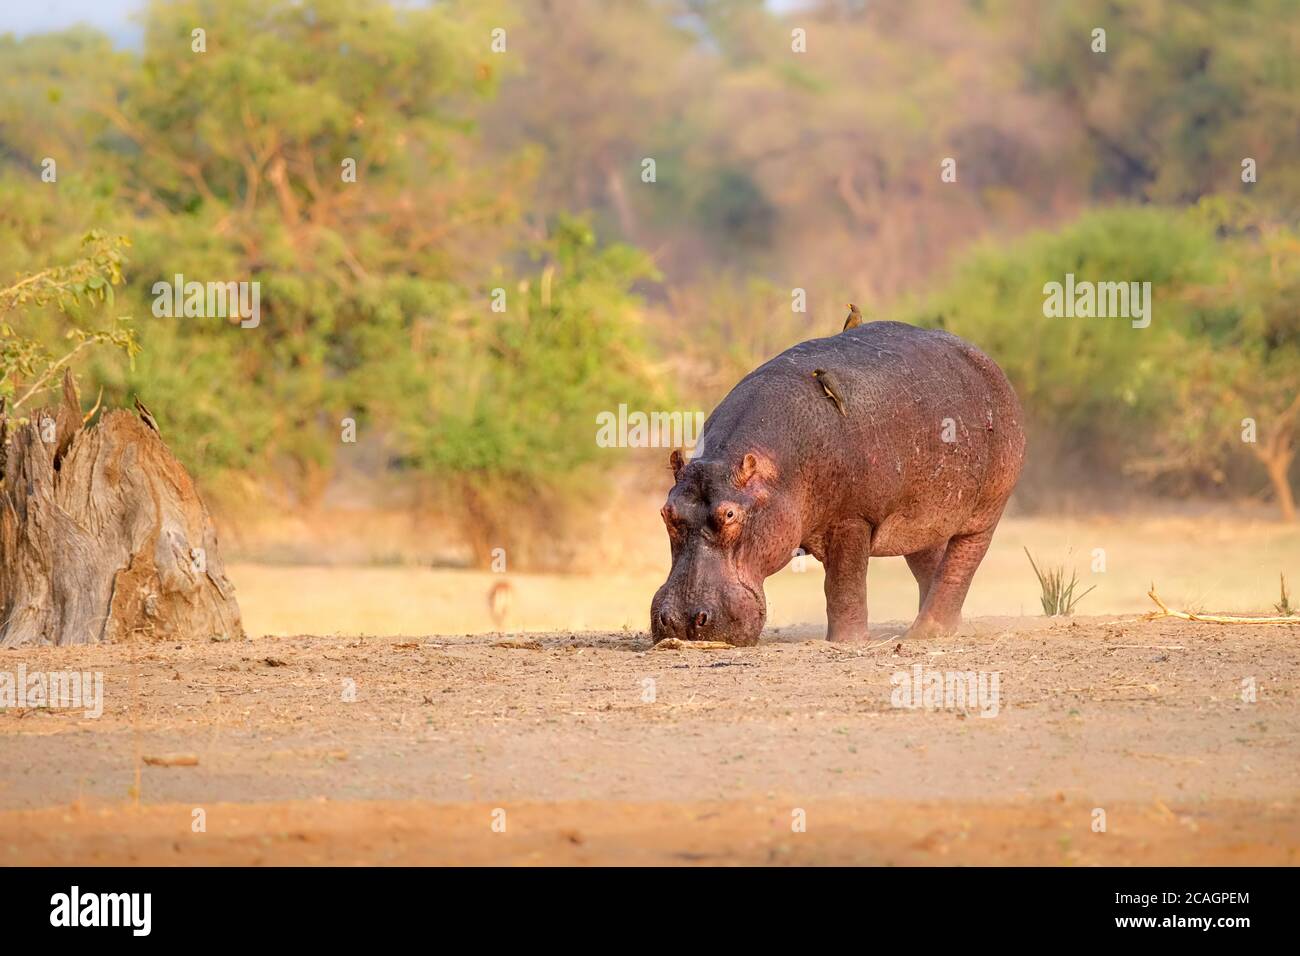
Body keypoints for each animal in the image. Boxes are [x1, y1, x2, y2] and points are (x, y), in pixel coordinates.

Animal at [650, 321, 1025, 646]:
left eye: (729, 515)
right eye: (666, 513)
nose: (683, 621)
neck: (773, 468)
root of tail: (989, 364)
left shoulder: (852, 518)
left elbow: (844, 584)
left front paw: (847, 641)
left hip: (987, 508)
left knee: (962, 560)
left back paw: (928, 632)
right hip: (923, 516)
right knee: (929, 561)